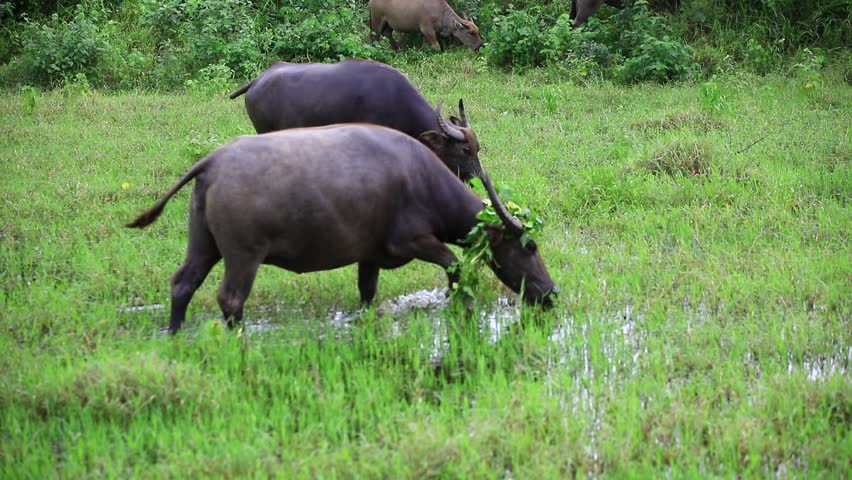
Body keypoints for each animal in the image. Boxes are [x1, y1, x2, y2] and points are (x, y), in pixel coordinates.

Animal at [127, 125, 557, 333]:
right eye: (530, 247)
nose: (551, 294)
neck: (420, 179)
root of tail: (213, 162)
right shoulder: (414, 240)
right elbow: (454, 267)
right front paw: (458, 304)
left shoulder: (371, 255)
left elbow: (367, 293)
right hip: (242, 254)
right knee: (231, 299)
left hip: (204, 242)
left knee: (183, 283)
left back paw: (174, 332)